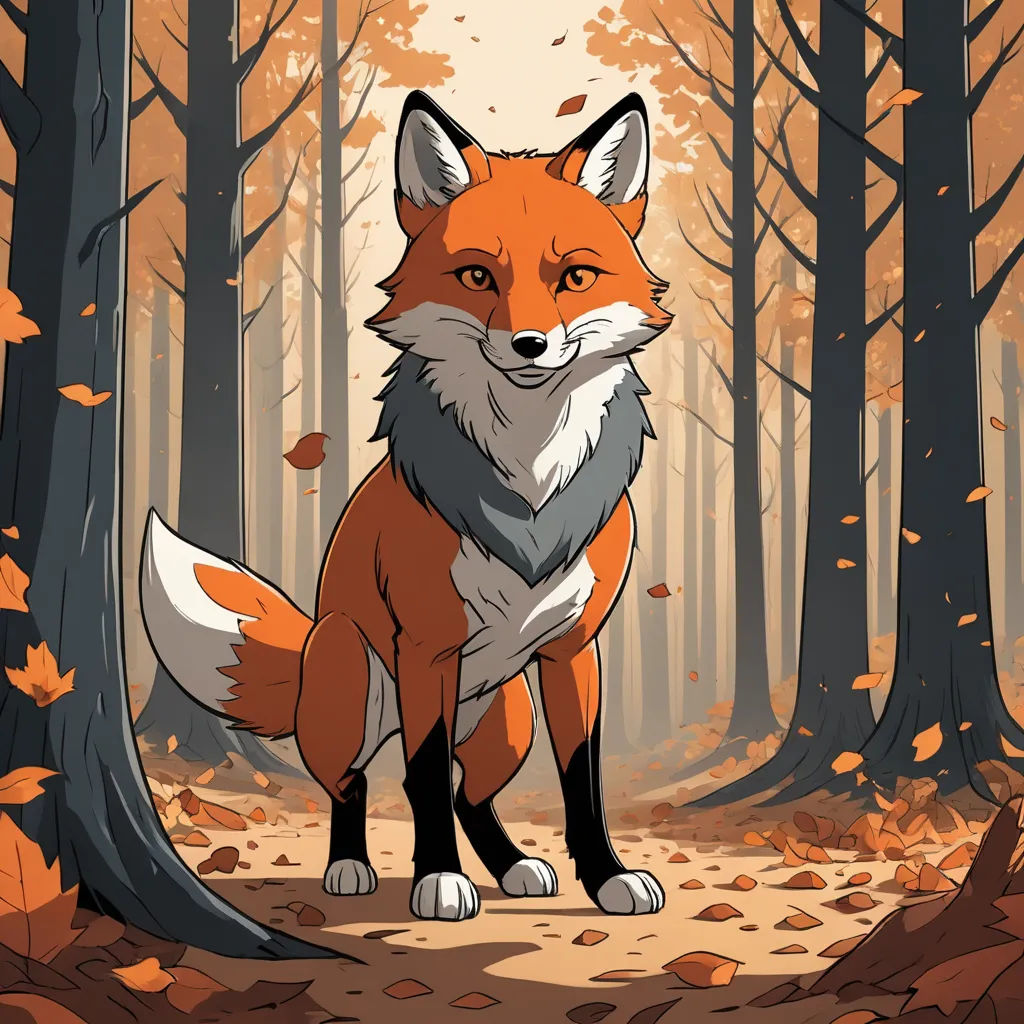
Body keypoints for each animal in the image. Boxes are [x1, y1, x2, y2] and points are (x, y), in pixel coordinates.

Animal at [141, 90, 672, 922]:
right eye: (477, 275)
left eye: (576, 276)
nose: (529, 344)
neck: (527, 485)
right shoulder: (427, 648)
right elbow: (419, 776)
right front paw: (439, 880)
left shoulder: (571, 652)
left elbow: (580, 781)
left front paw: (606, 877)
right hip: (355, 681)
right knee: (354, 783)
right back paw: (350, 866)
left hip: (507, 723)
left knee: (469, 795)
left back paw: (514, 867)